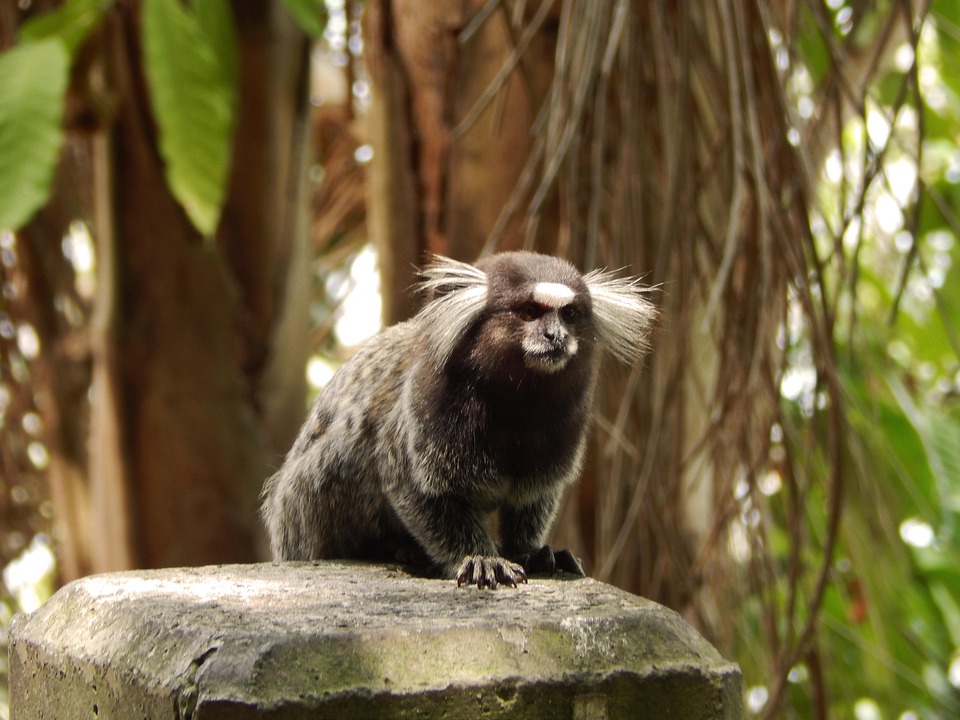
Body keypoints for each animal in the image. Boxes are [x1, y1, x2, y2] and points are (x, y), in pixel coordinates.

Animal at [260, 251, 656, 589]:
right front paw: (481, 558)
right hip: (302, 507)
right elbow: (418, 490)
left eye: (569, 314)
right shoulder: (426, 413)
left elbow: (532, 497)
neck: (515, 401)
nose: (554, 336)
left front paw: (529, 551)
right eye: (530, 311)